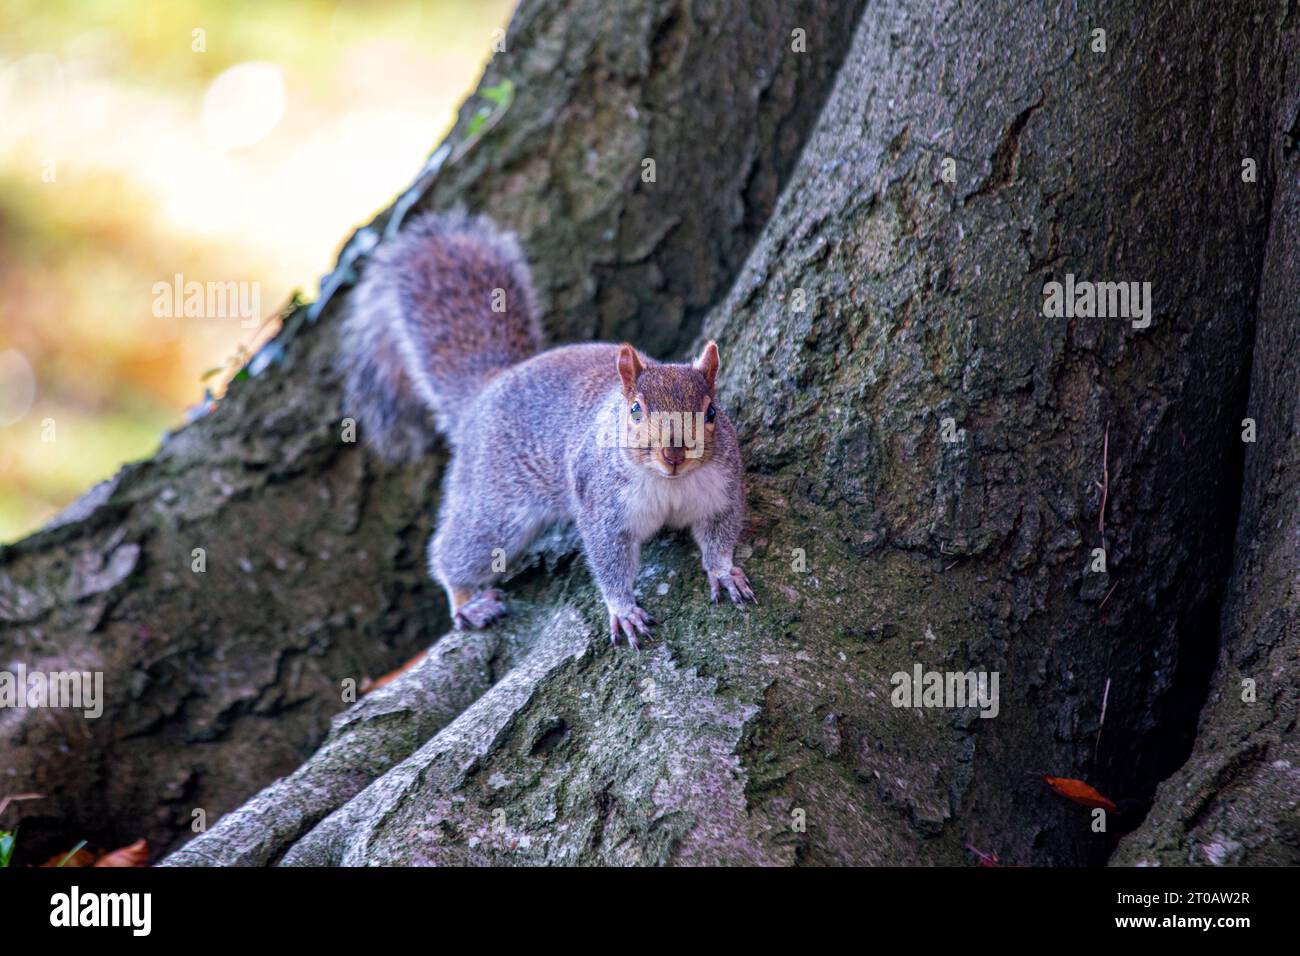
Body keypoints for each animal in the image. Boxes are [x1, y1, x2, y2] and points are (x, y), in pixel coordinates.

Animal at [340, 211, 755, 648]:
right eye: (636, 410)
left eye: (711, 413)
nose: (674, 454)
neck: (669, 483)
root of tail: (486, 393)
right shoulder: (602, 505)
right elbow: (609, 561)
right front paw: (623, 610)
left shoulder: (721, 491)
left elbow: (720, 534)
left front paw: (723, 571)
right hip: (495, 510)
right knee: (455, 552)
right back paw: (466, 600)